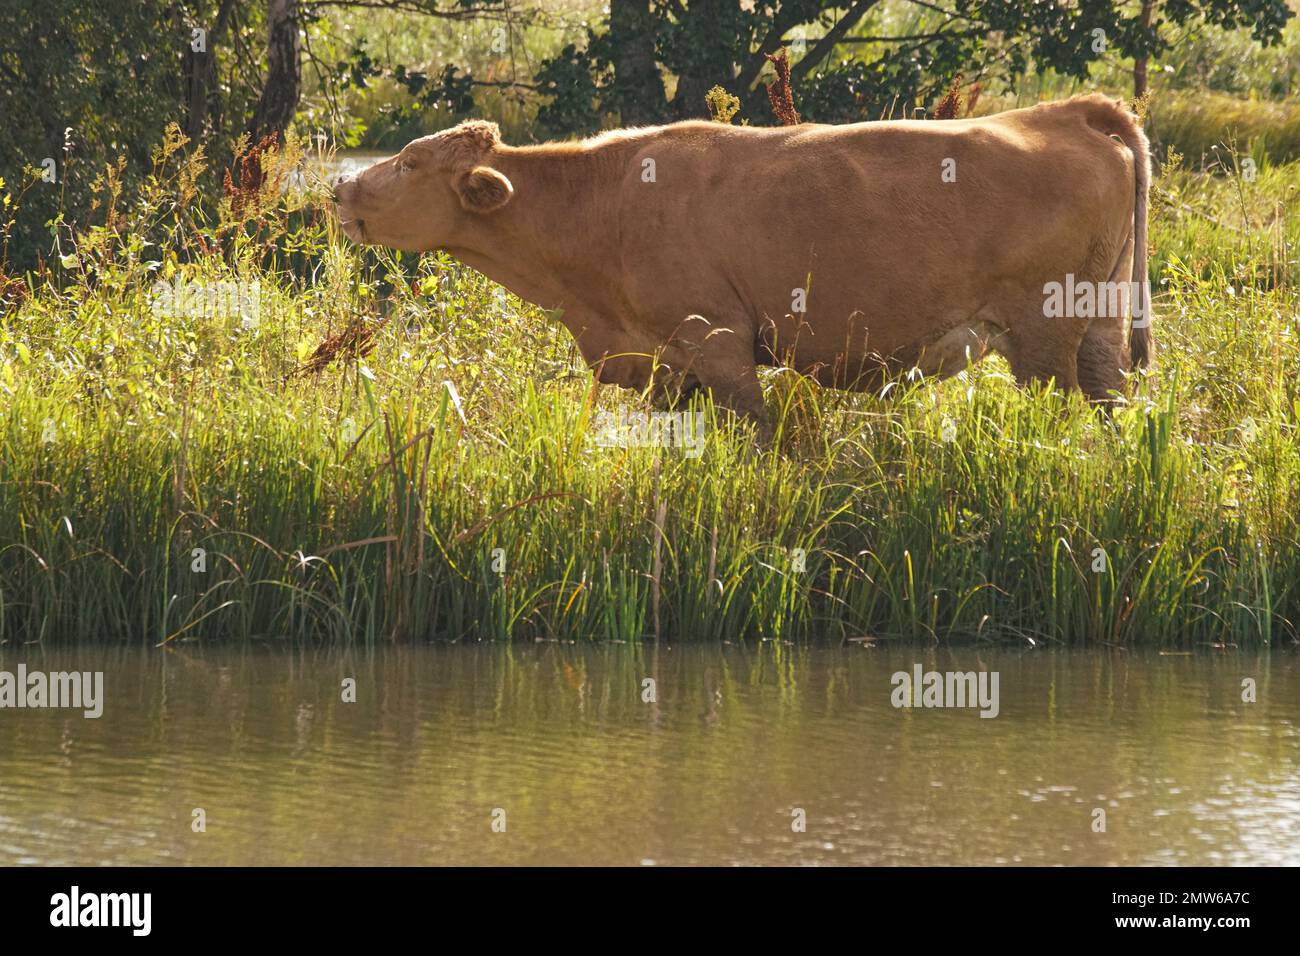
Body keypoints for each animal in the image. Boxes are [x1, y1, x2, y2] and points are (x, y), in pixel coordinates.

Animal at [334, 94, 1152, 437]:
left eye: (408, 163)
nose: (339, 189)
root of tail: (1063, 110)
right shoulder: (669, 367)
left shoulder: (718, 342)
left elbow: (760, 441)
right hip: (1099, 328)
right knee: (1113, 406)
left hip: (1041, 336)